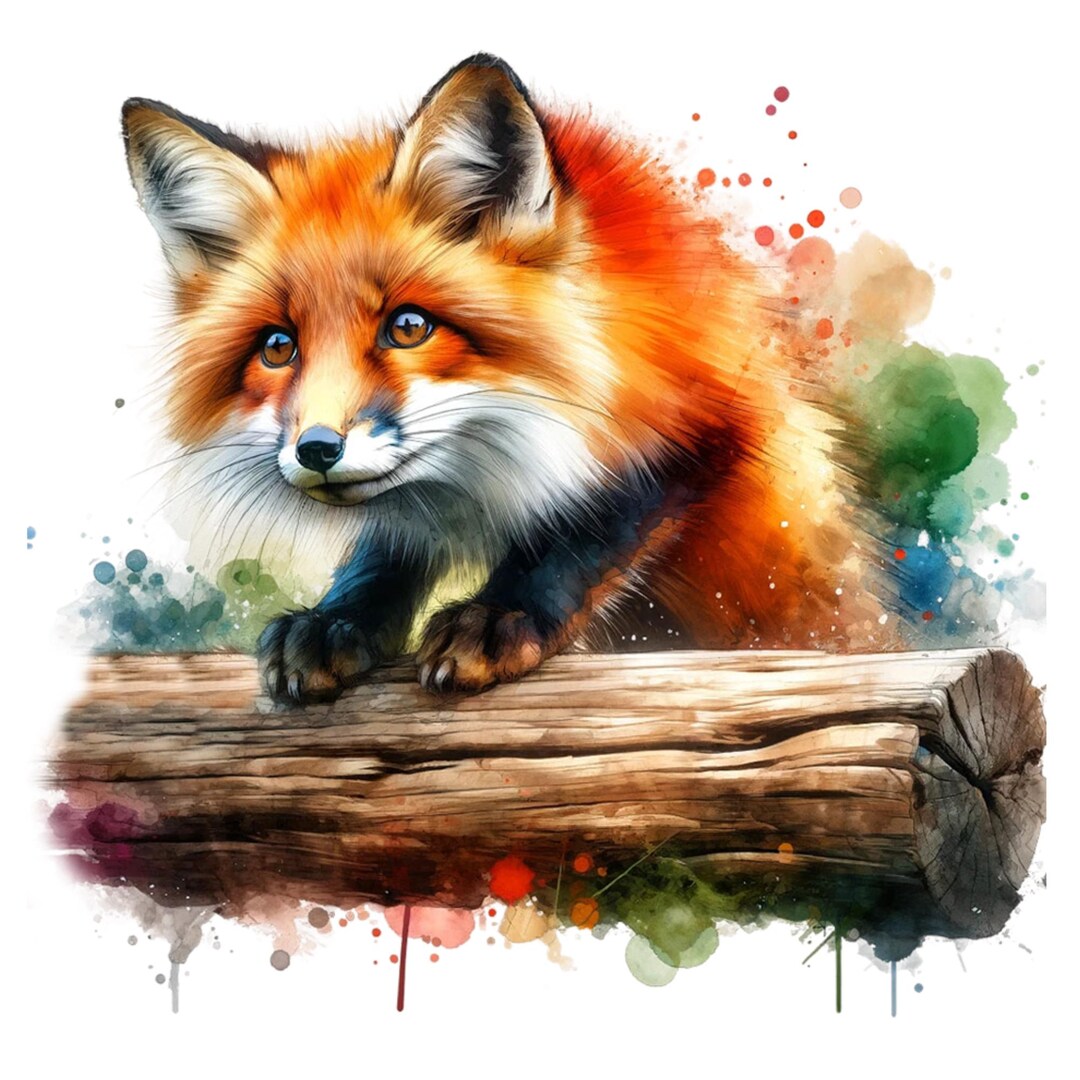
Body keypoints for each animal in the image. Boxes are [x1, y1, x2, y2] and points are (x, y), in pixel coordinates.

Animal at [122, 54, 890, 703]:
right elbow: (387, 551)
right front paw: (338, 621)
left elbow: (587, 526)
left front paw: (499, 615)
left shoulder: (704, 412)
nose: (315, 450)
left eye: (408, 327)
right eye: (278, 347)